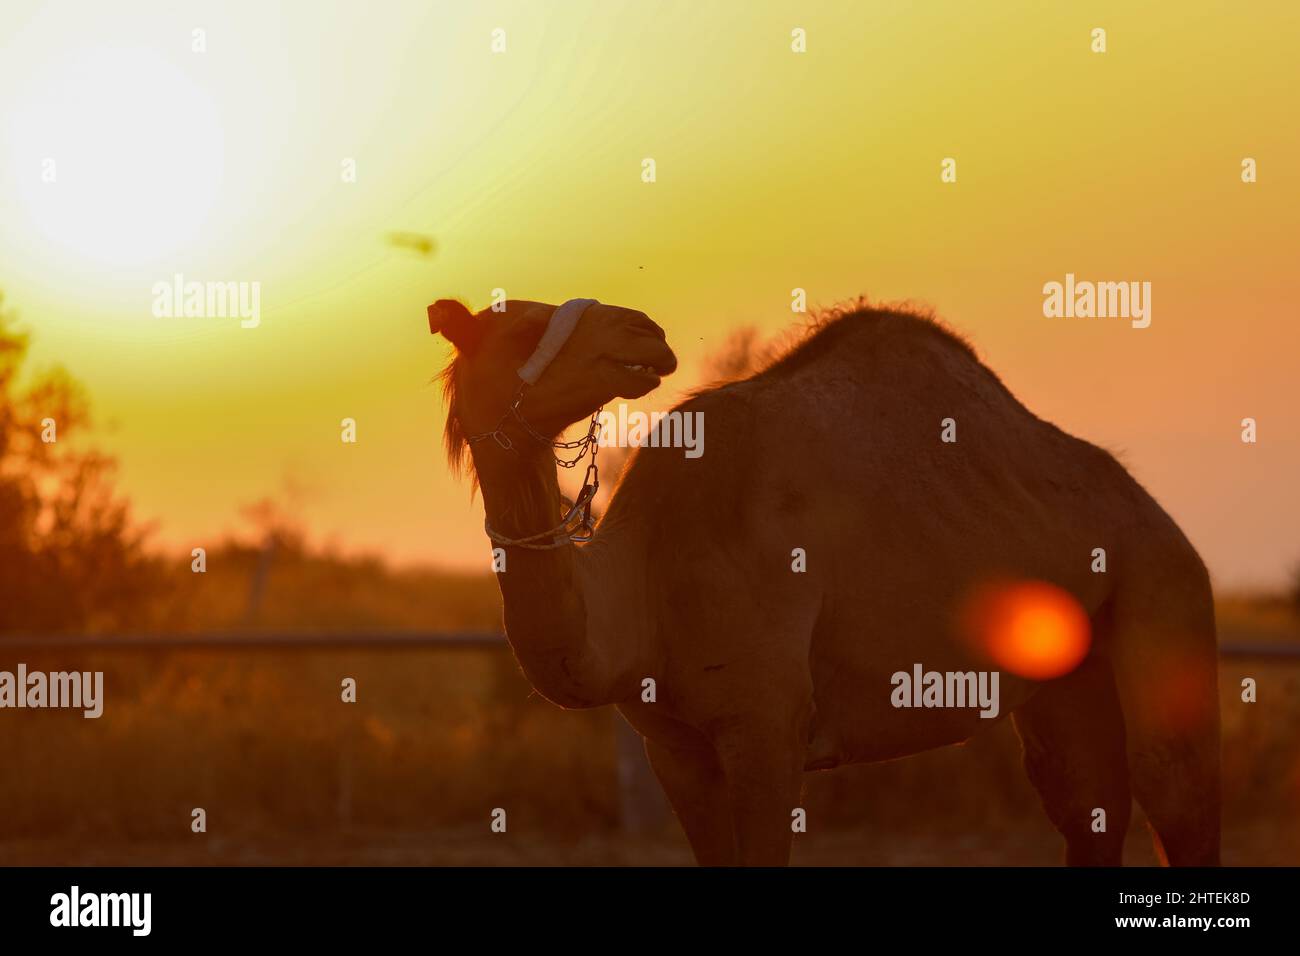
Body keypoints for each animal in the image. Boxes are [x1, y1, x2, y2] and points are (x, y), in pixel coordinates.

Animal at [426, 295, 1221, 866]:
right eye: (524, 329)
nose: (645, 330)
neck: (646, 572)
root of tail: (1157, 515)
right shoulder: (673, 748)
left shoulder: (767, 728)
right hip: (1066, 672)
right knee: (1086, 802)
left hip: (1162, 584)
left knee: (1174, 788)